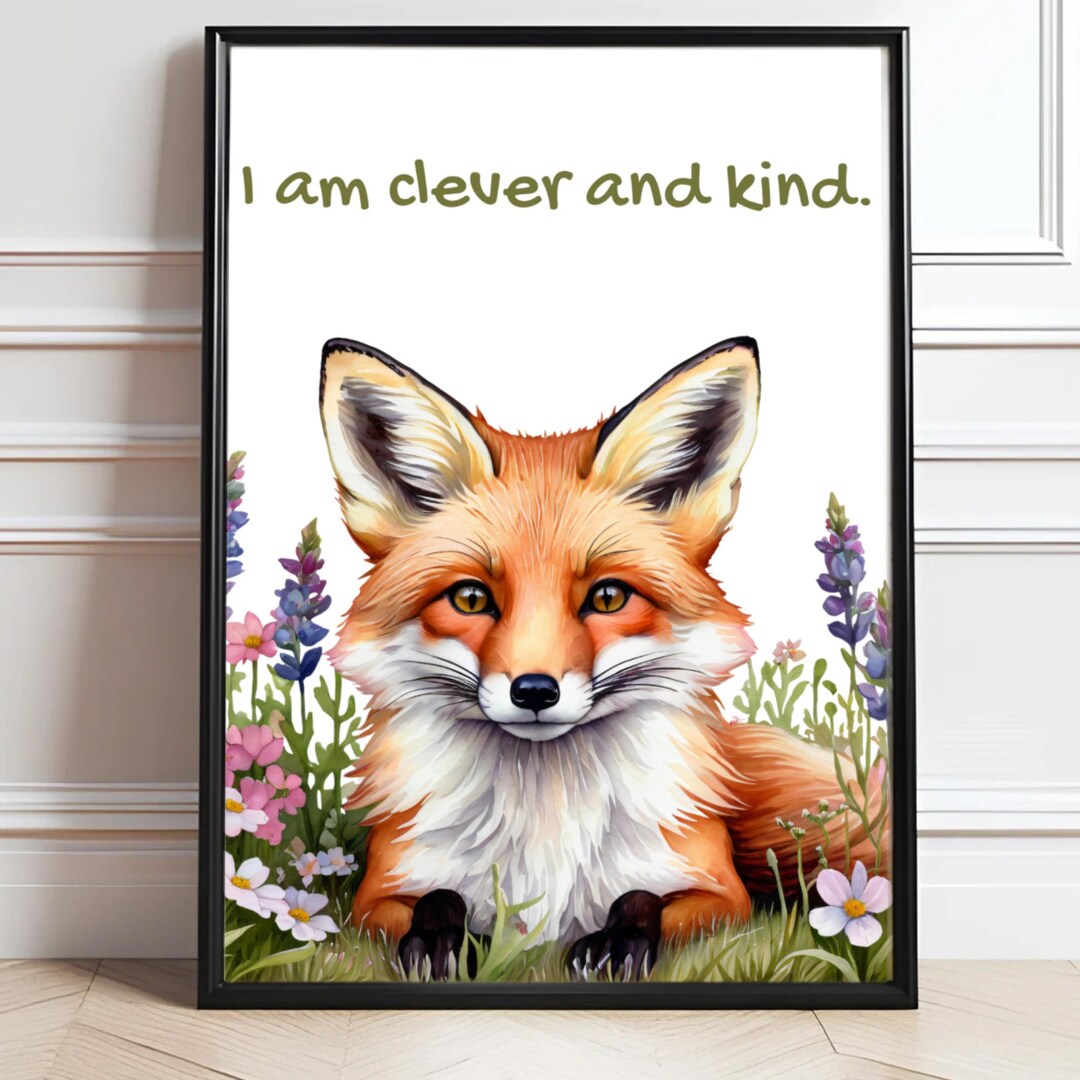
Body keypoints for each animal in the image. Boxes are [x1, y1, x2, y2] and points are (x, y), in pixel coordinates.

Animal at [318, 334, 885, 978]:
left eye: (608, 597)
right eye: (470, 598)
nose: (534, 691)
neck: (545, 819)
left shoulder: (720, 895)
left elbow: (642, 899)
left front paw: (616, 944)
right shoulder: (376, 897)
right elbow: (436, 900)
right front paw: (446, 945)